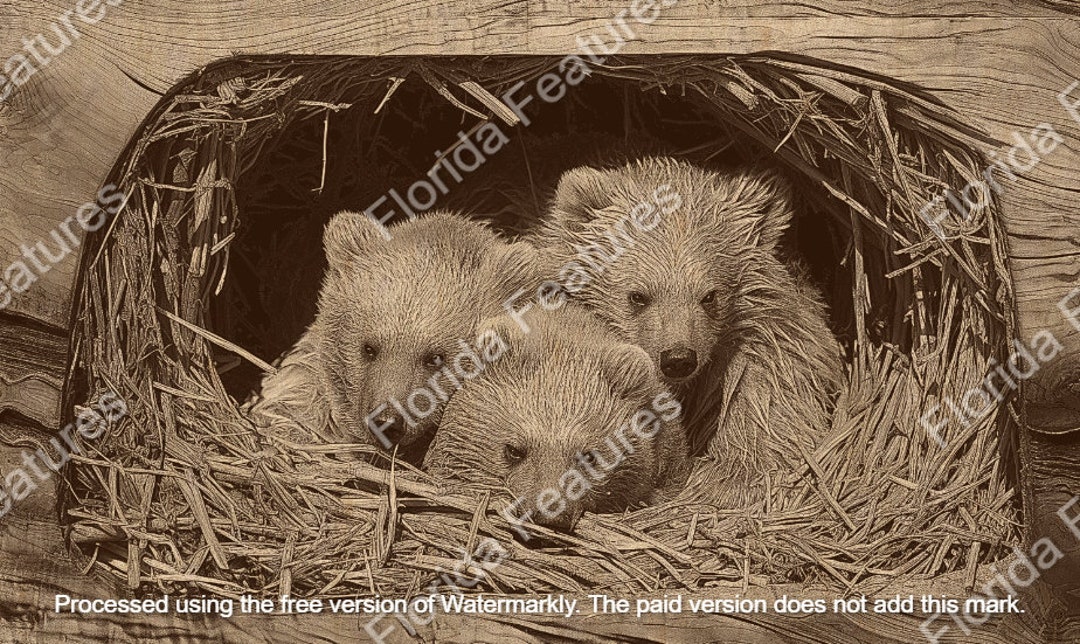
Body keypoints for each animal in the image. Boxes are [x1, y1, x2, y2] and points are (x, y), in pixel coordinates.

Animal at [530, 156, 844, 507]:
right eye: (637, 295)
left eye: (710, 296)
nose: (678, 358)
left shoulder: (769, 335)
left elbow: (773, 398)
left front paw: (727, 478)